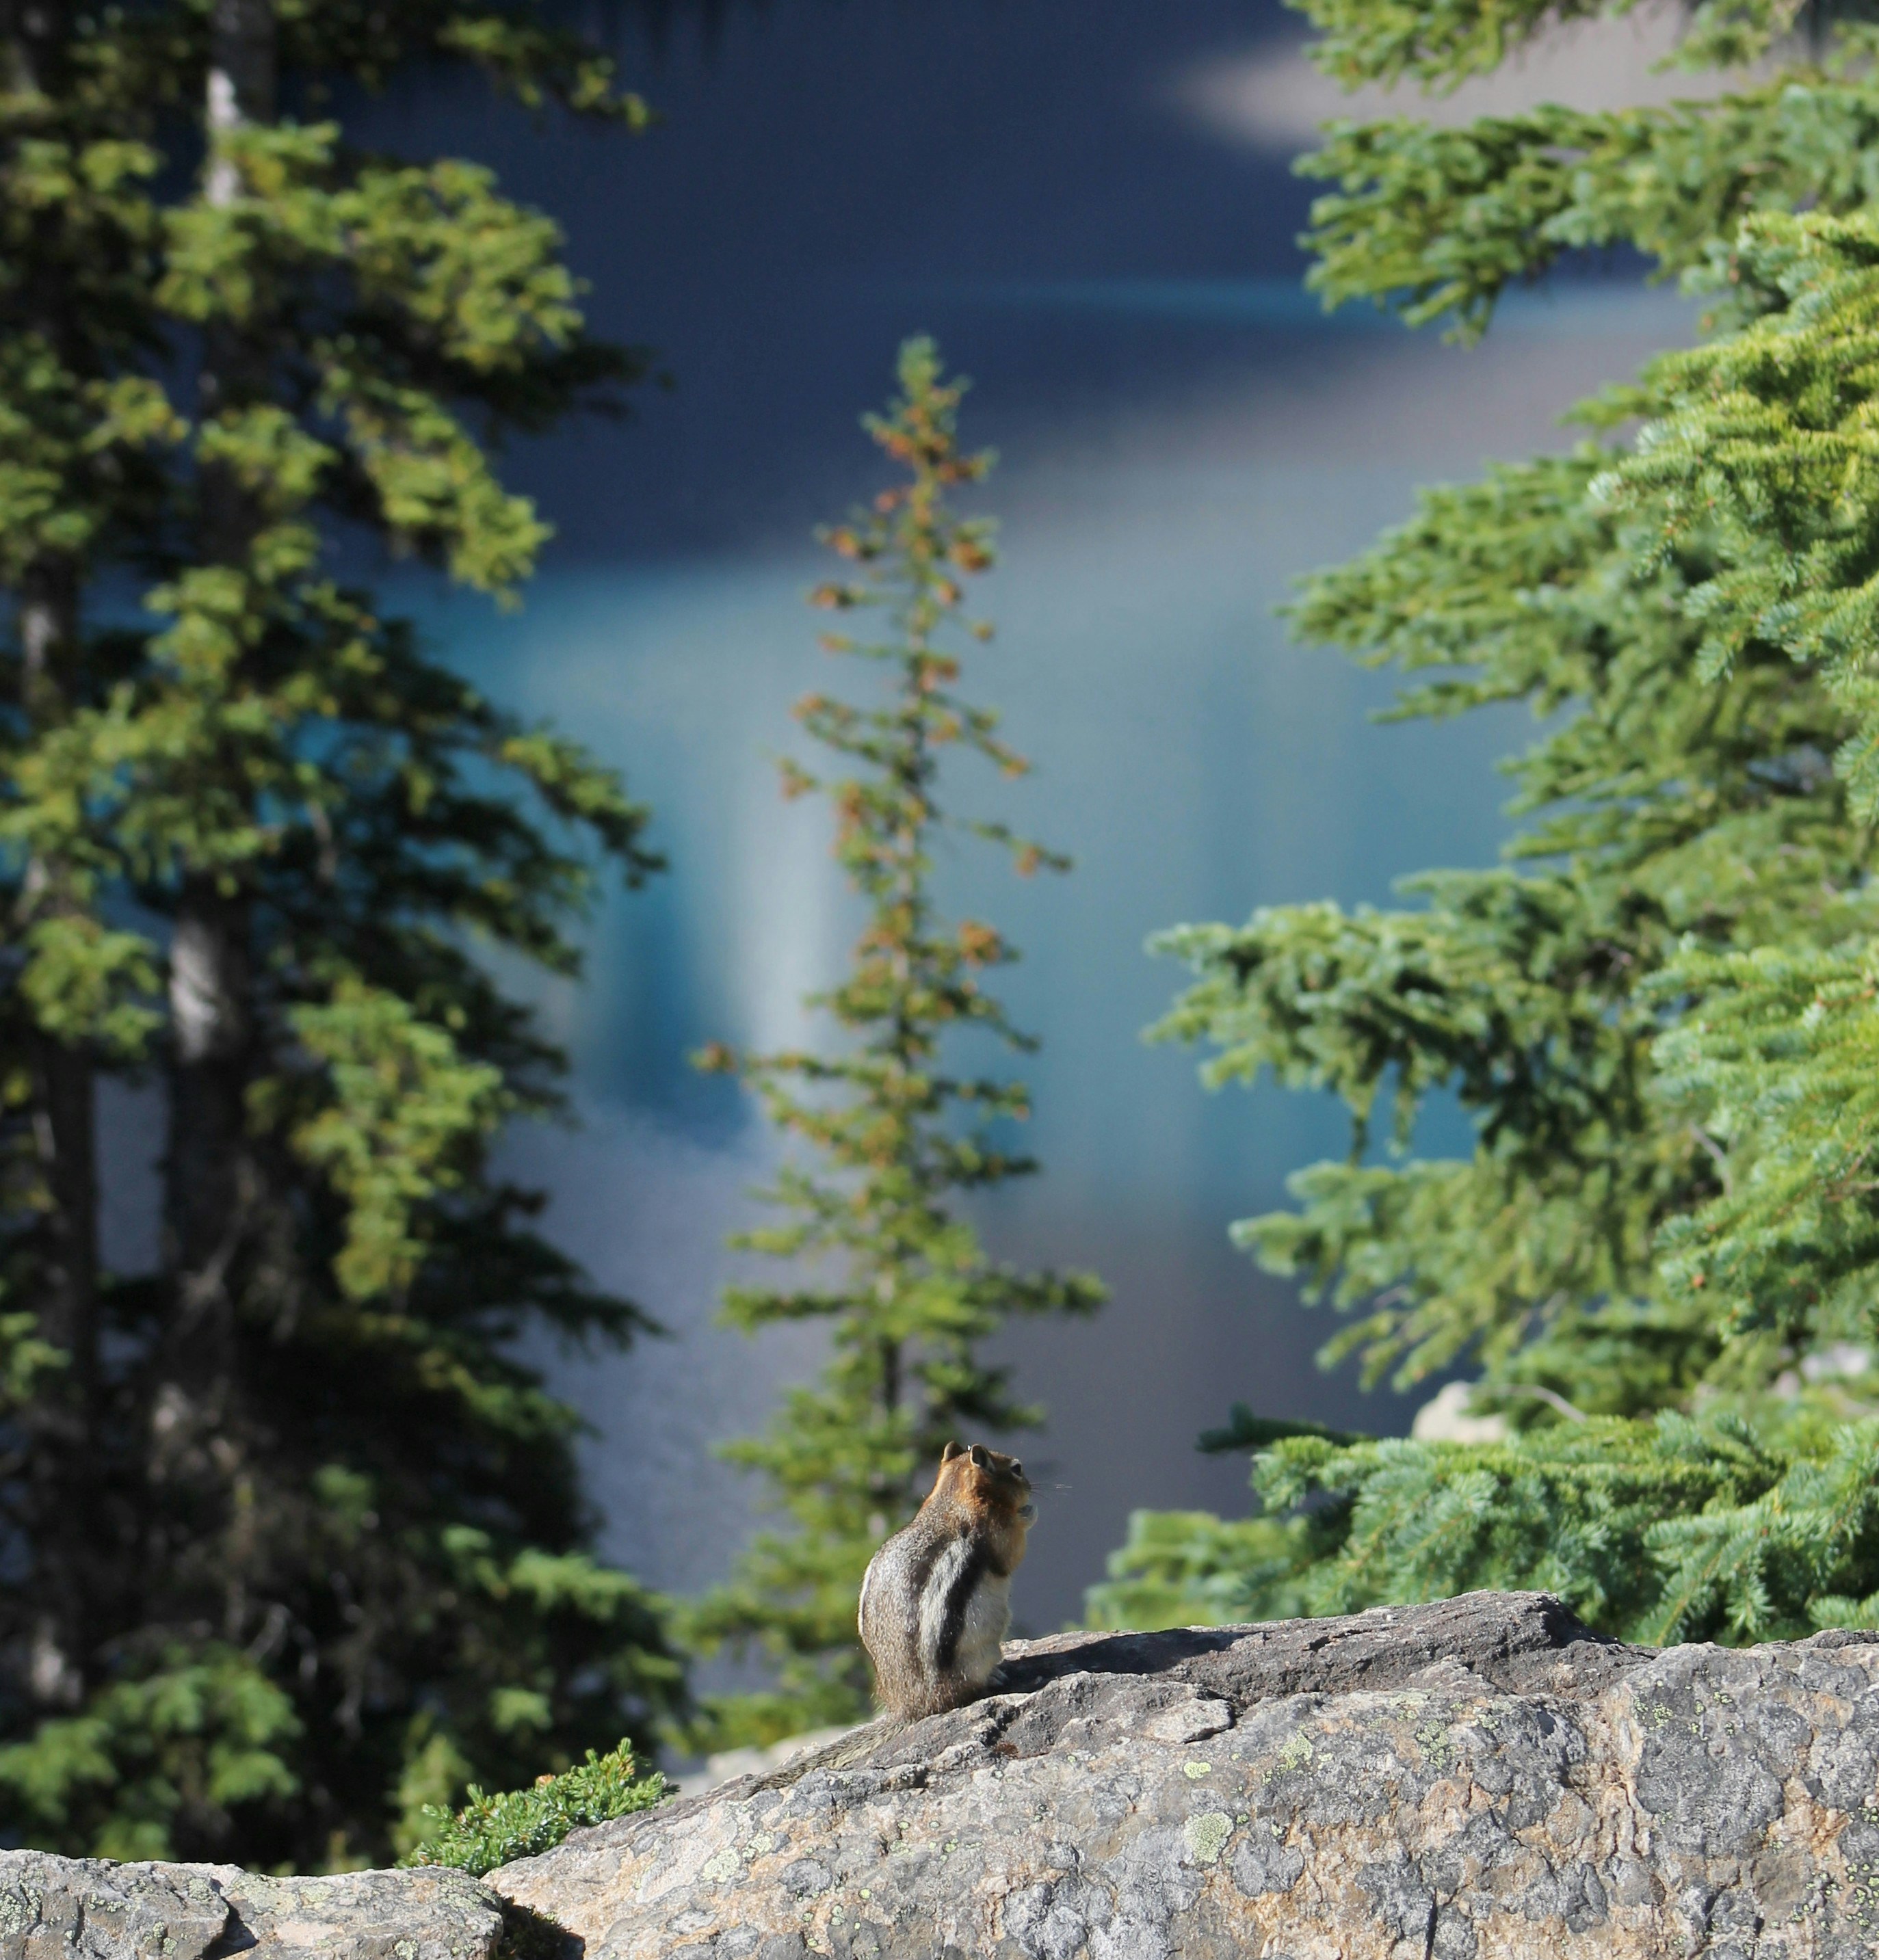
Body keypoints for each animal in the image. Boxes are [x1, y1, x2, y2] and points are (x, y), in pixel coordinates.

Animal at [857, 1441, 1036, 1722]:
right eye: (1017, 1469)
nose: (1030, 1485)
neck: (950, 1498)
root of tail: (911, 1707)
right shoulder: (993, 1530)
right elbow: (1010, 1555)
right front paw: (1028, 1514)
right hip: (978, 1656)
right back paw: (994, 1676)